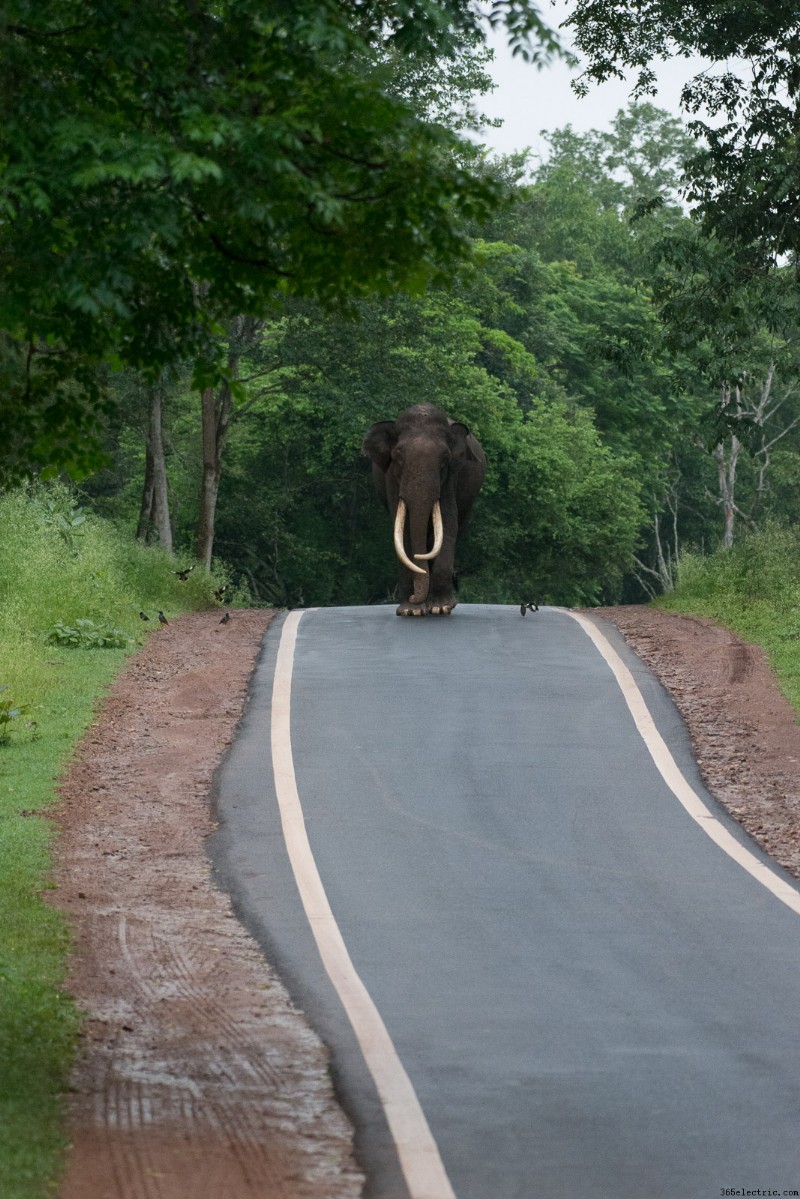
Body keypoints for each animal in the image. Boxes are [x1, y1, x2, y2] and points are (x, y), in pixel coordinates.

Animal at [364, 407, 489, 623]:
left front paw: (440, 608)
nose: (415, 597)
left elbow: (447, 524)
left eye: (445, 458)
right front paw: (411, 611)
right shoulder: (392, 478)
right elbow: (403, 531)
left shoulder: (450, 478)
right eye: (398, 455)